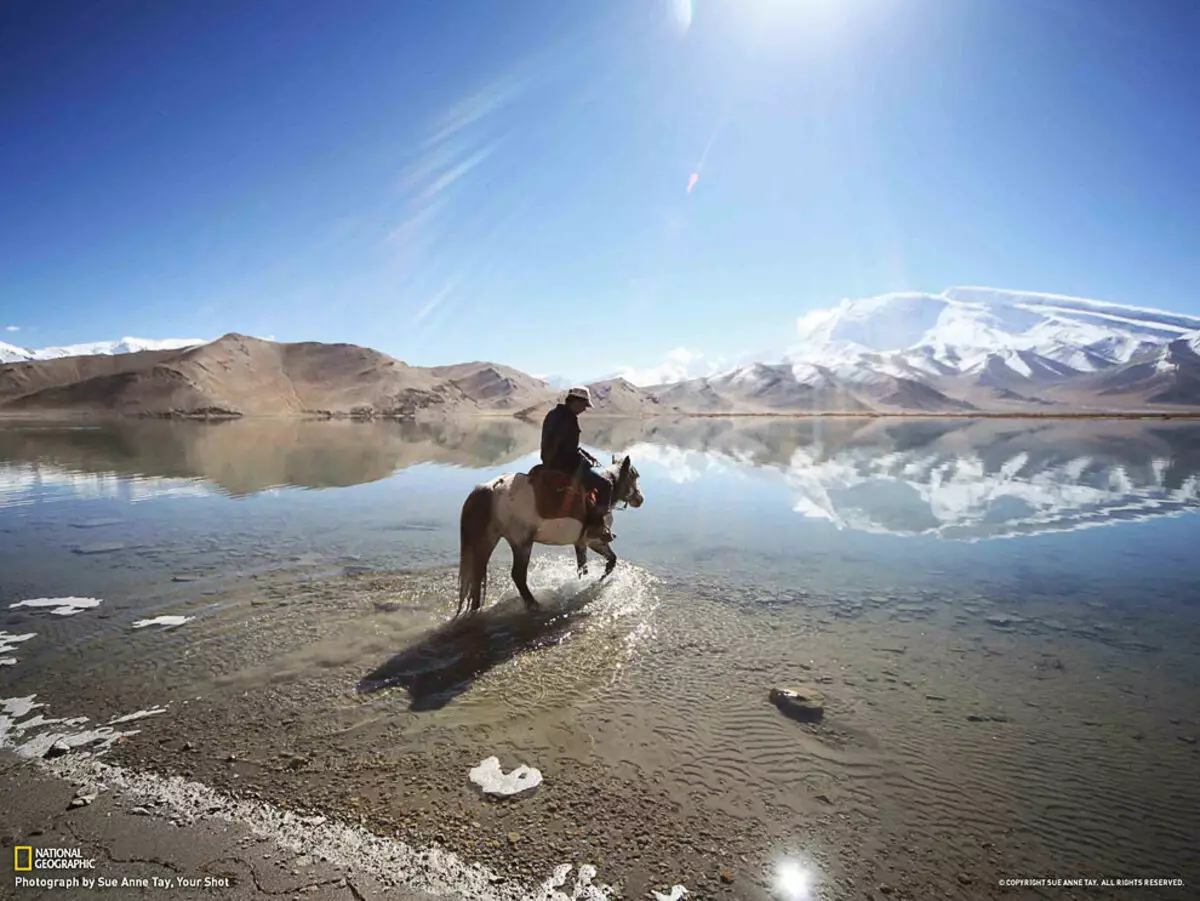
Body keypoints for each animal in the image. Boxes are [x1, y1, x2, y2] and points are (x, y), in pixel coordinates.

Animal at [456, 453, 643, 619]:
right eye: (634, 476)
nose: (640, 499)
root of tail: (492, 487)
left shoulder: (582, 542)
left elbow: (586, 566)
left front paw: (585, 582)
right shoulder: (594, 539)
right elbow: (610, 561)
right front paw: (596, 583)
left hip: (489, 540)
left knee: (477, 576)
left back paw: (476, 610)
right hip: (522, 544)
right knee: (517, 575)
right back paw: (534, 605)